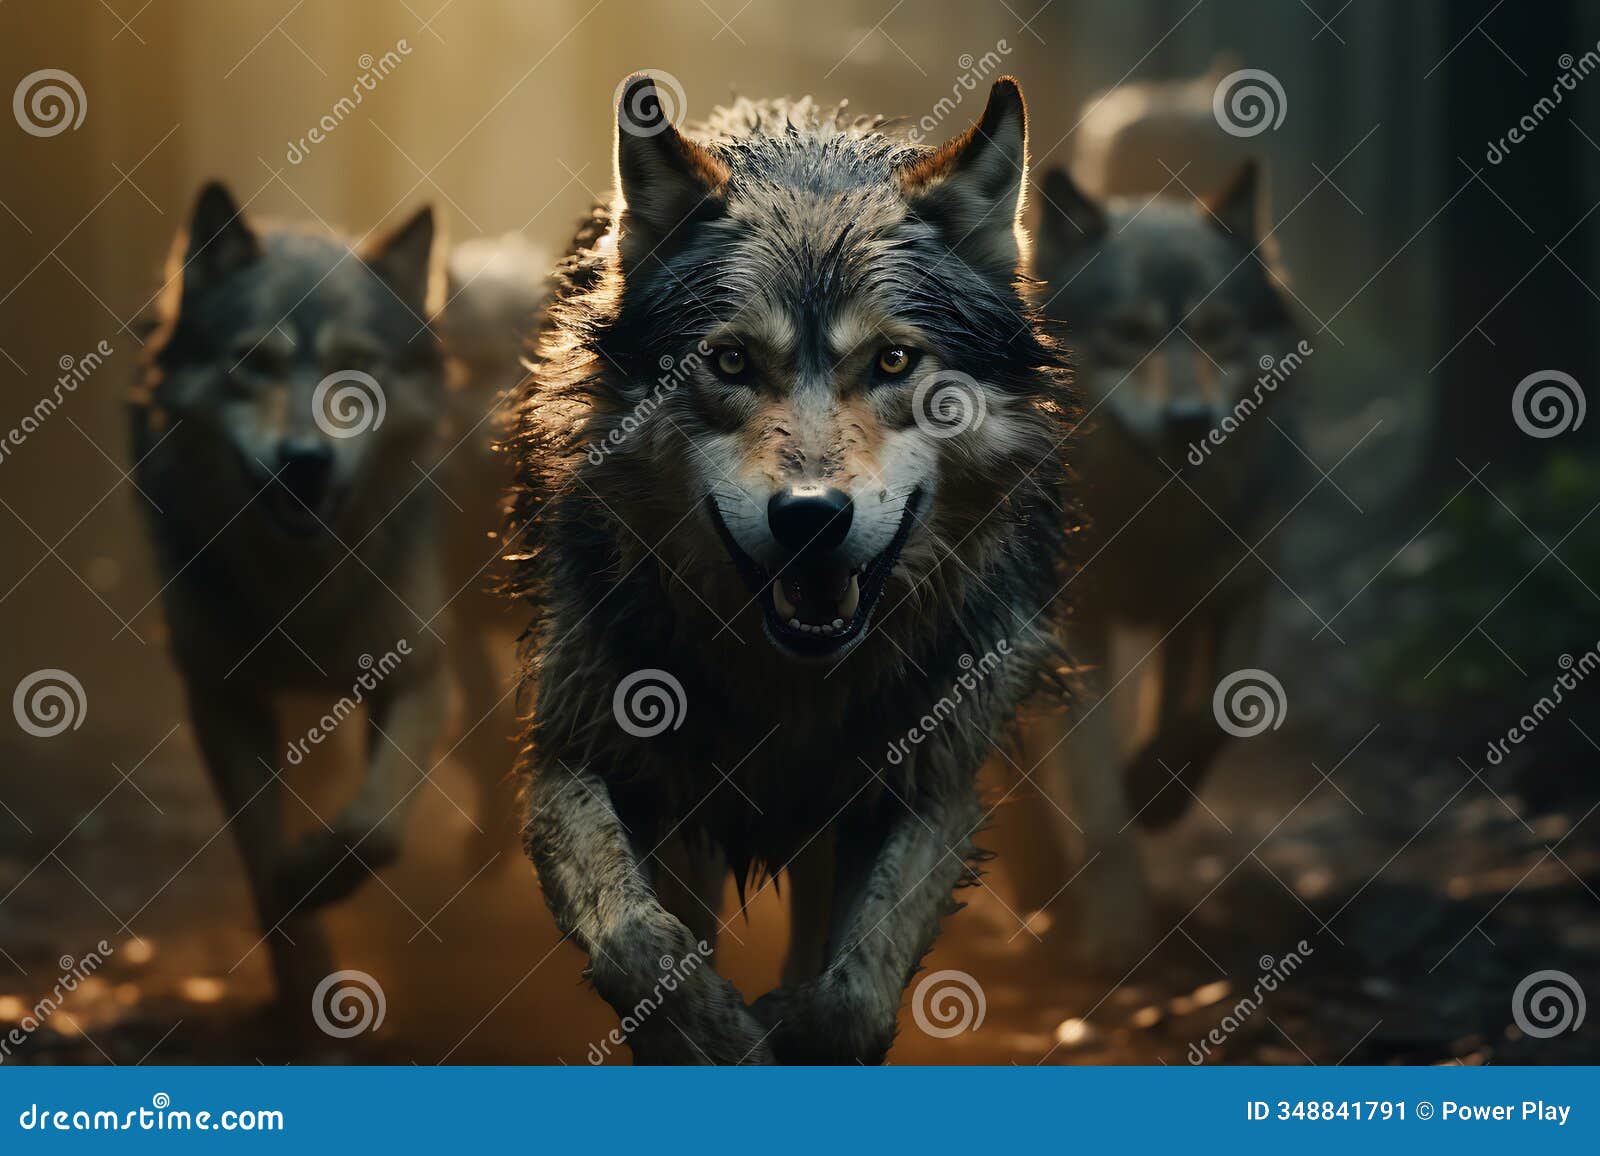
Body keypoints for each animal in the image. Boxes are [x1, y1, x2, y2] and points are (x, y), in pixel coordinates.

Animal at [131, 182, 450, 1010]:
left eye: (357, 367)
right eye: (253, 362)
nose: (305, 461)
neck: (300, 584)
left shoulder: (418, 675)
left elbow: (374, 826)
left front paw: (310, 877)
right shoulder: (220, 696)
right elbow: (257, 840)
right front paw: (301, 971)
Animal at [508, 74, 1076, 1064]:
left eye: (894, 359)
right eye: (731, 360)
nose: (811, 519)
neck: (791, 688)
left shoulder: (926, 790)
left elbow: (851, 994)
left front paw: (797, 1028)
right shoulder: (577, 758)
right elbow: (639, 942)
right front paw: (718, 1036)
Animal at [1011, 155, 1301, 965]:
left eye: (1218, 332)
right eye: (1128, 334)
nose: (1188, 422)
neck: (1150, 528)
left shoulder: (1234, 592)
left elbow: (1216, 709)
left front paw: (1157, 793)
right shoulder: (1074, 631)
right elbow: (1097, 805)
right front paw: (1115, 937)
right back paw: (1037, 880)